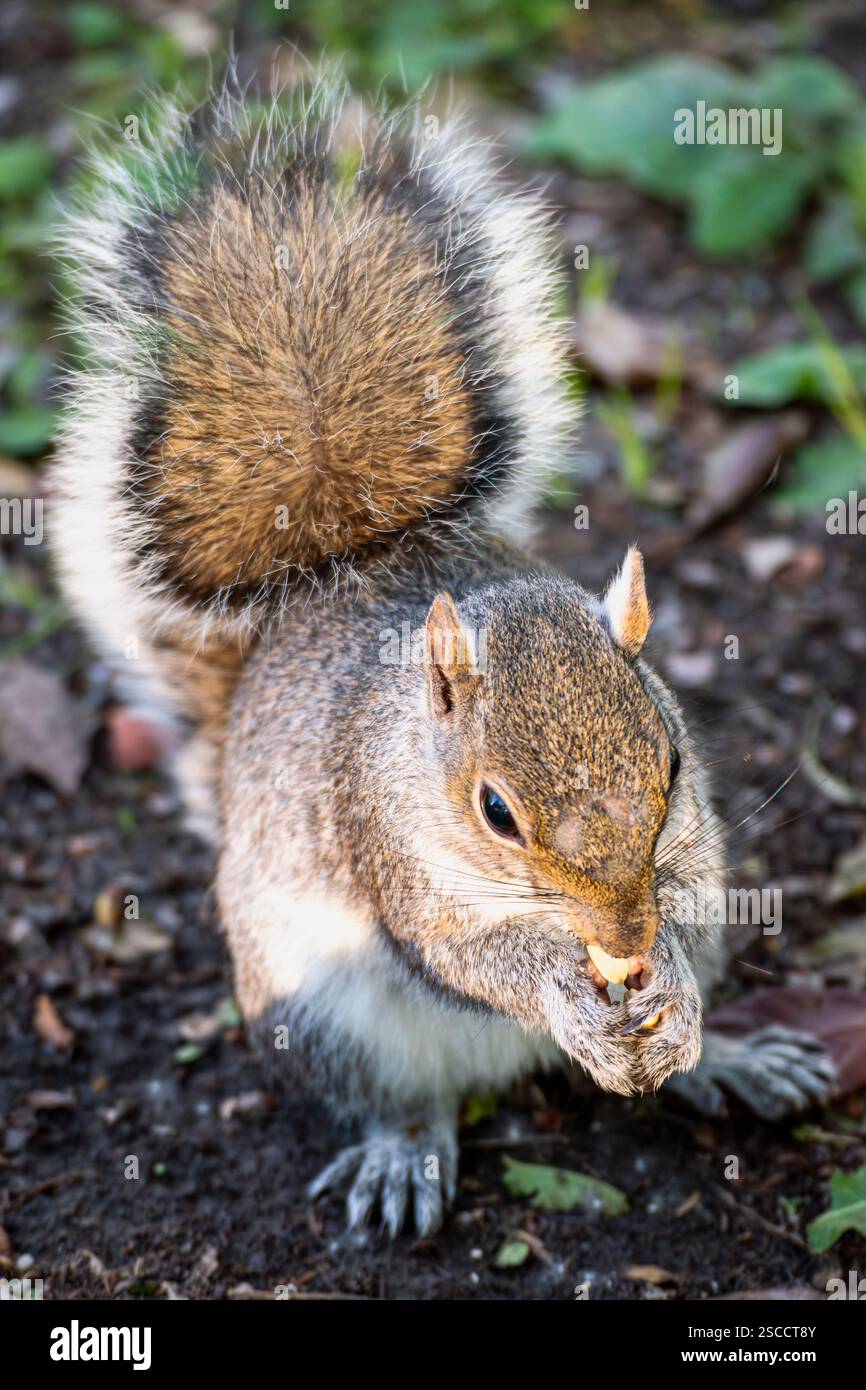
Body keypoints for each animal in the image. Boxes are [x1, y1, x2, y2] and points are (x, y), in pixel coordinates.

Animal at [50, 71, 836, 1237]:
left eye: (672, 765)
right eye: (494, 812)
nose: (622, 934)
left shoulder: (688, 860)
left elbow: (688, 902)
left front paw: (688, 1009)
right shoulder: (384, 835)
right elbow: (467, 954)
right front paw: (562, 987)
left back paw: (732, 1061)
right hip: (326, 1014)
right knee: (401, 1098)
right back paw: (404, 1154)